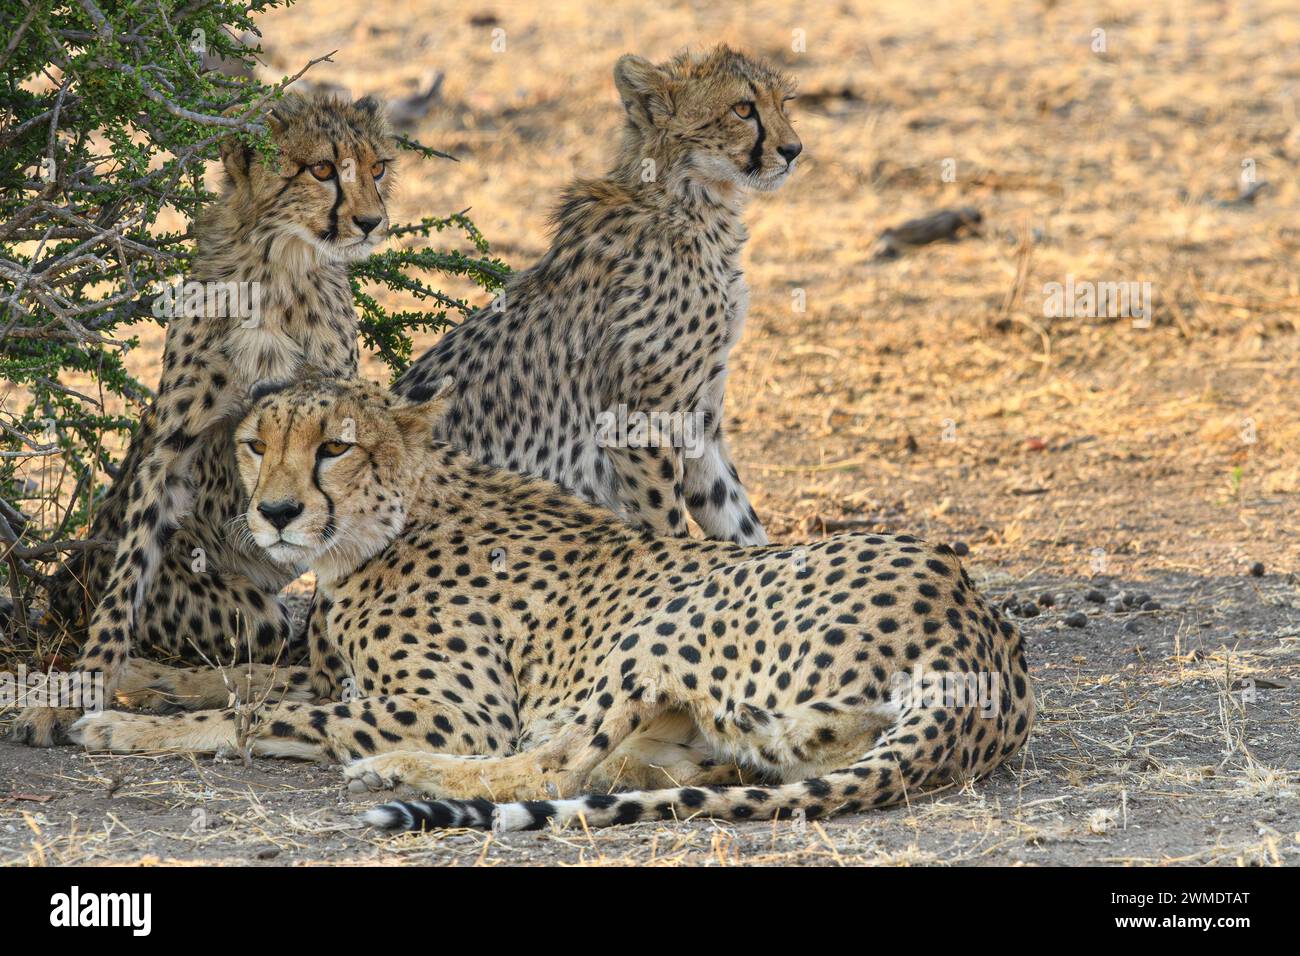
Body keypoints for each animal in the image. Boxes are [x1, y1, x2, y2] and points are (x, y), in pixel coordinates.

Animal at [14, 92, 398, 746]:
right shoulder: (171, 447)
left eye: (377, 168)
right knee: (260, 627)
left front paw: (333, 674)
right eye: (323, 169)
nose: (372, 222)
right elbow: (126, 582)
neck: (281, 267)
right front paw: (78, 691)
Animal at [71, 379, 1036, 832]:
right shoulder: (332, 671)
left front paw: (122, 727)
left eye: (334, 448)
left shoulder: (462, 714)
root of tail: (979, 635)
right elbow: (242, 681)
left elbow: (258, 715)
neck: (389, 521)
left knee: (551, 766)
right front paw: (130, 681)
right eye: (253, 444)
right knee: (660, 769)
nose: (273, 512)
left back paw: (399, 772)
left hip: (665, 626)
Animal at [393, 45, 803, 547]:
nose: (794, 150)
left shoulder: (700, 419)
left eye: (783, 103)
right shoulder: (636, 426)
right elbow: (668, 529)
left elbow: (738, 521)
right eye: (742, 109)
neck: (692, 202)